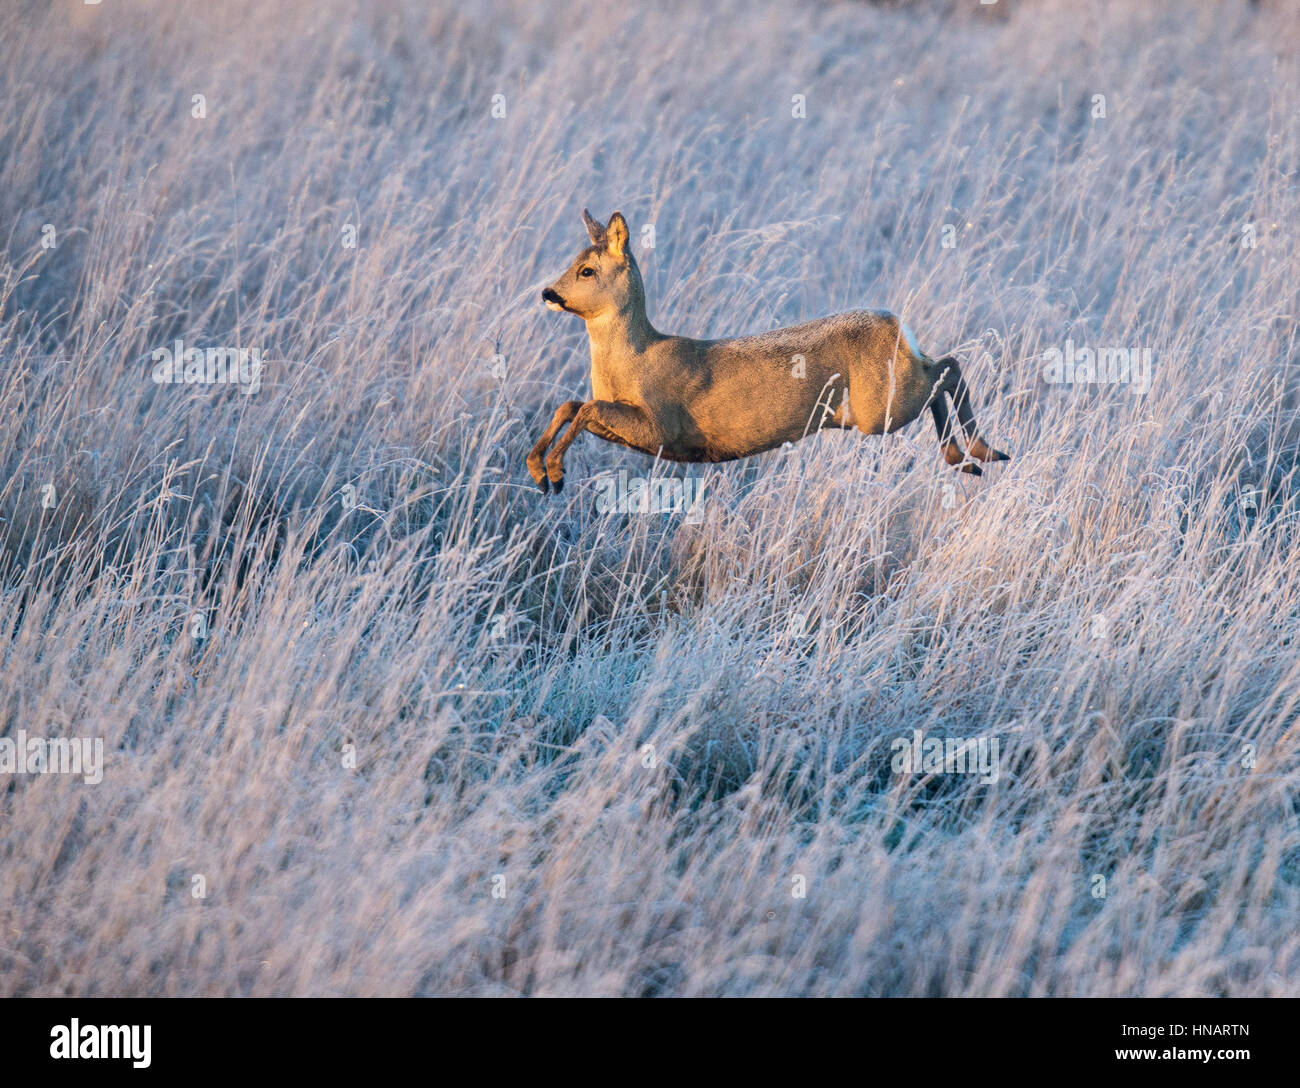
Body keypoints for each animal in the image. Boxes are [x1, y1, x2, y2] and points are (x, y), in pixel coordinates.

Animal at [527, 209, 1009, 494]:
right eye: (572, 261)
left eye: (587, 270)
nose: (549, 292)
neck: (635, 358)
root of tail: (898, 325)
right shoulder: (629, 425)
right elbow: (573, 405)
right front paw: (538, 469)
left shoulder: (661, 428)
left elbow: (586, 408)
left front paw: (555, 473)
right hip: (889, 398)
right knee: (943, 369)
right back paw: (967, 459)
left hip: (881, 409)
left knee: (948, 368)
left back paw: (982, 451)